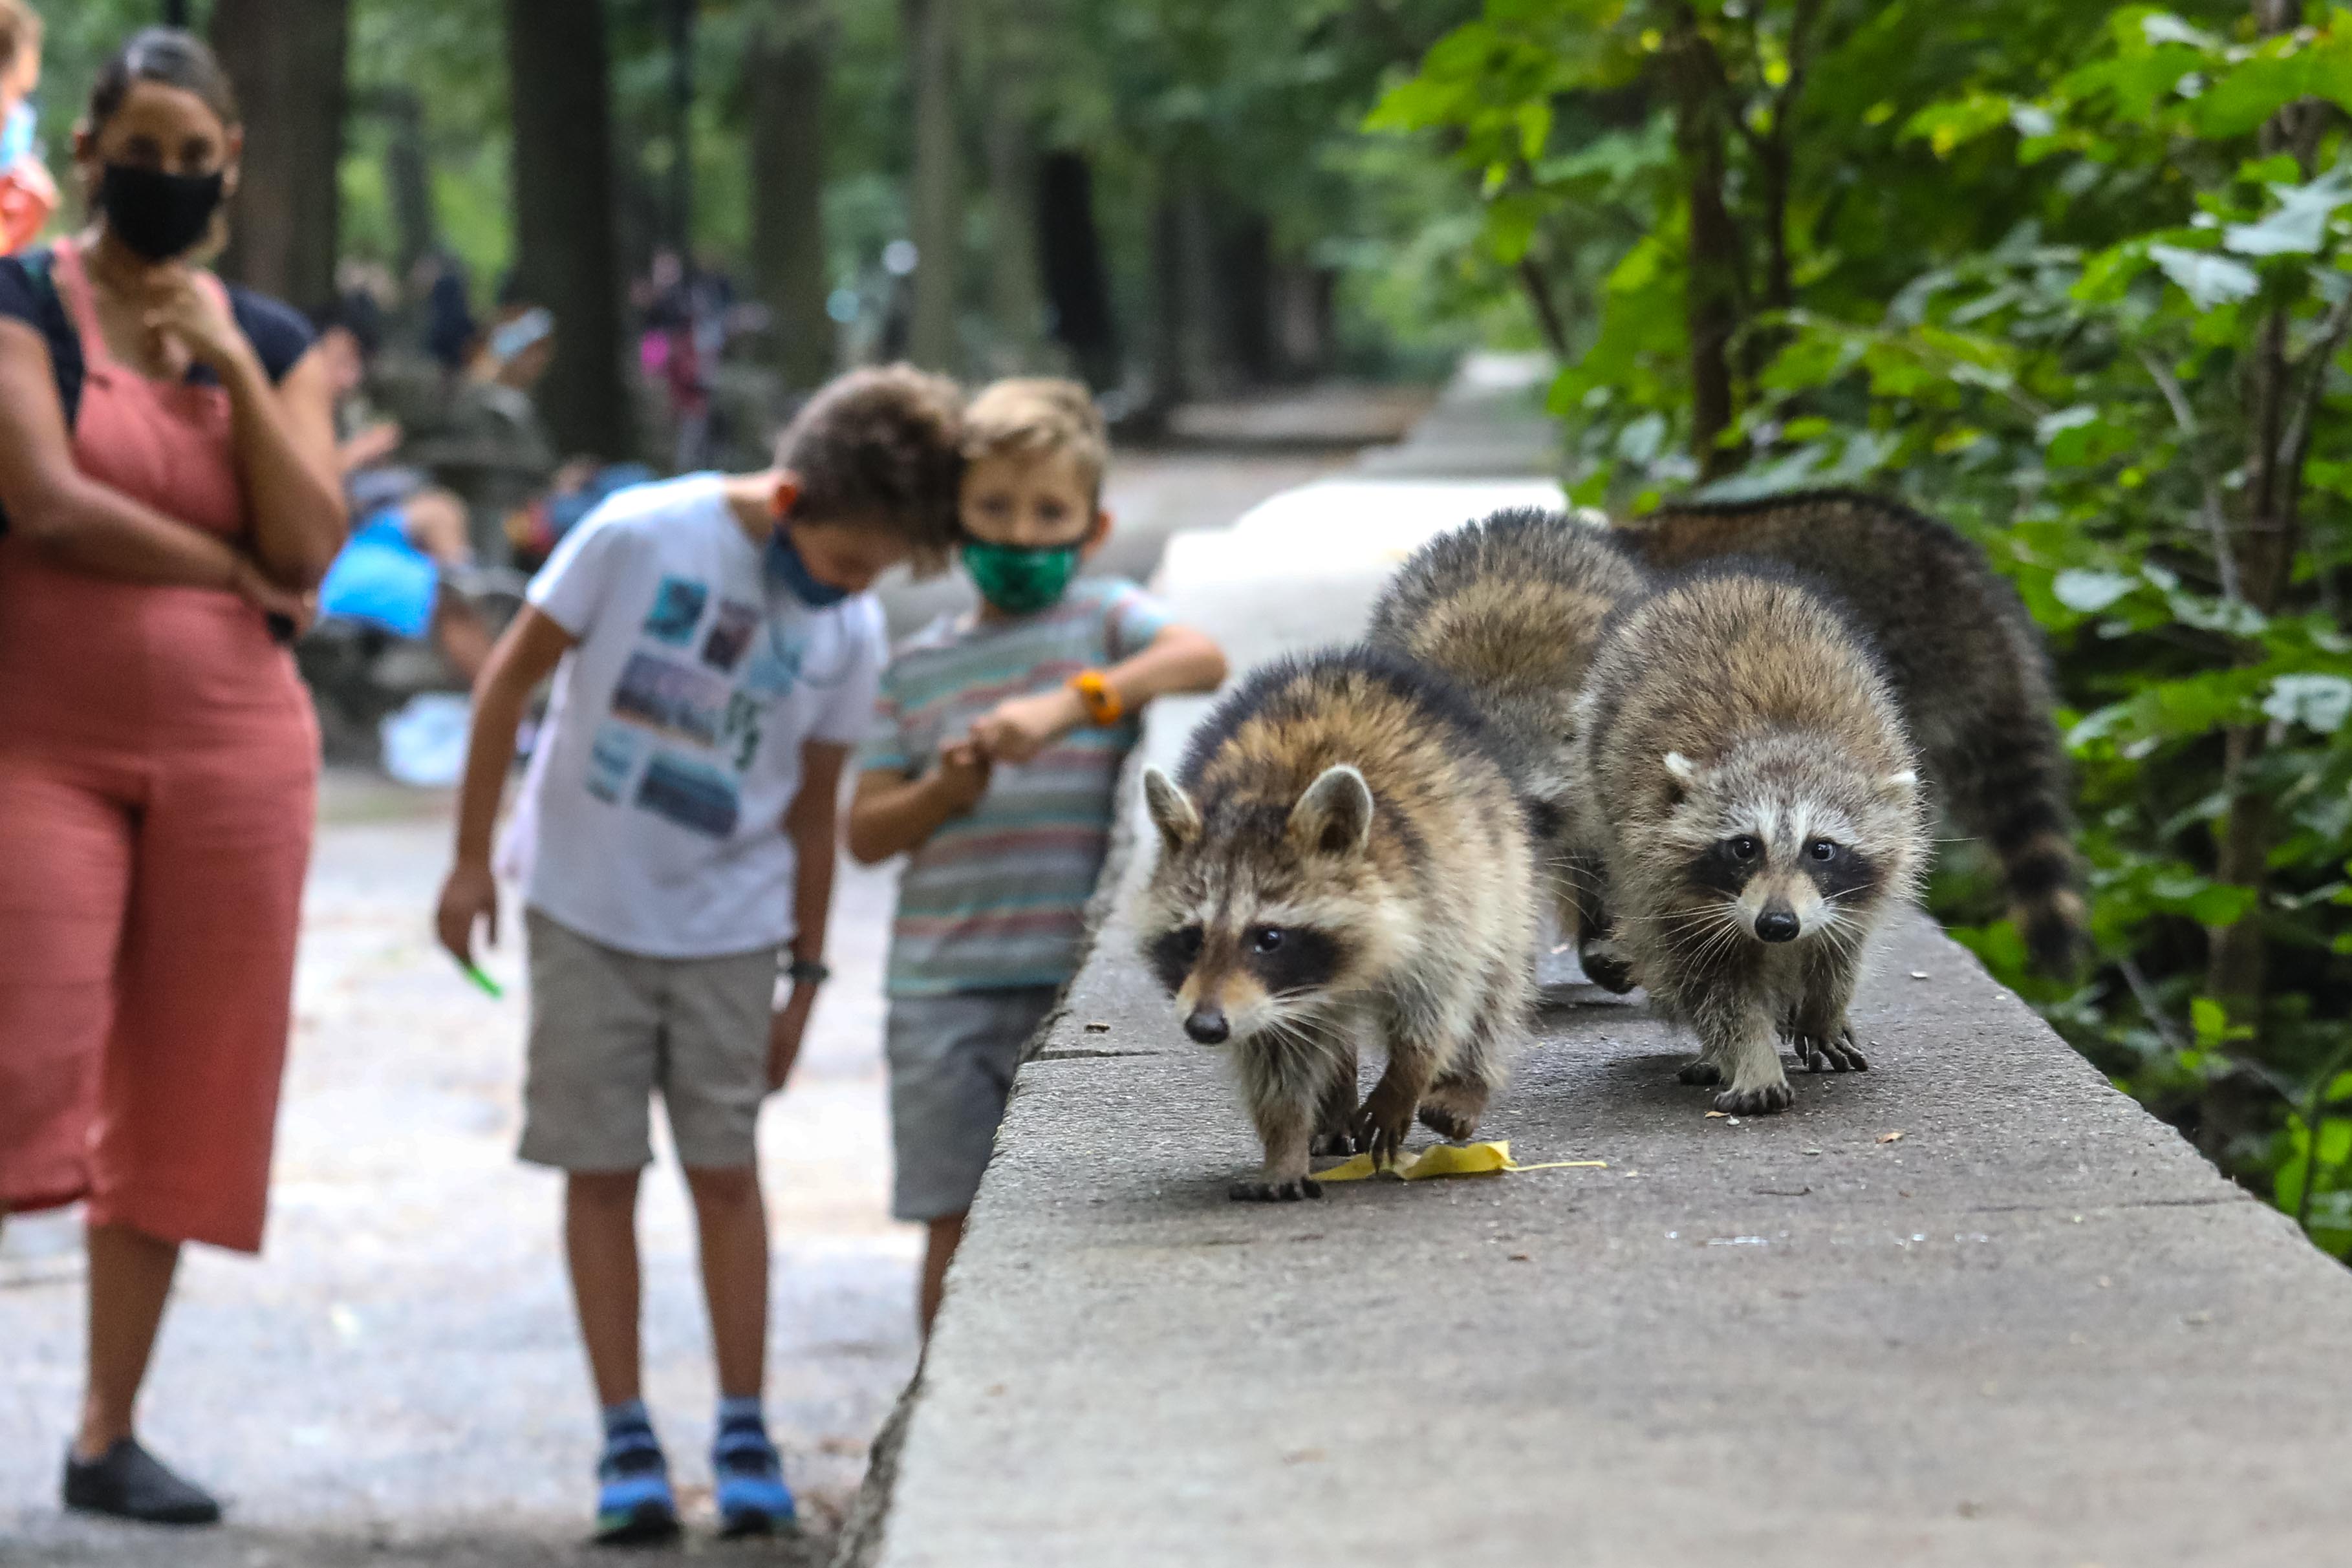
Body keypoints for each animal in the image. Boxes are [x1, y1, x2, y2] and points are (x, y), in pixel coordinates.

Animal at [1137, 648, 1538, 1200]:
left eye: (1269, 938)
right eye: (1191, 940)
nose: (1205, 1026)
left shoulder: (1441, 890)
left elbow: (1440, 997)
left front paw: (1408, 1074)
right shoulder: (1264, 1001)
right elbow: (1275, 1058)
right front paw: (1284, 1142)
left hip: (1496, 849)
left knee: (1497, 974)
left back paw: (1465, 1083)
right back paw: (1335, 1100)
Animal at [1569, 566, 1928, 1114]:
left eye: (1820, 848)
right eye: (1744, 847)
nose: (1776, 924)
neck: (1781, 738)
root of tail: (1724, 579)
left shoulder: (1860, 882)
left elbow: (1840, 948)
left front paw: (1823, 1008)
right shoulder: (1664, 879)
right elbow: (1713, 986)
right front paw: (1750, 1057)